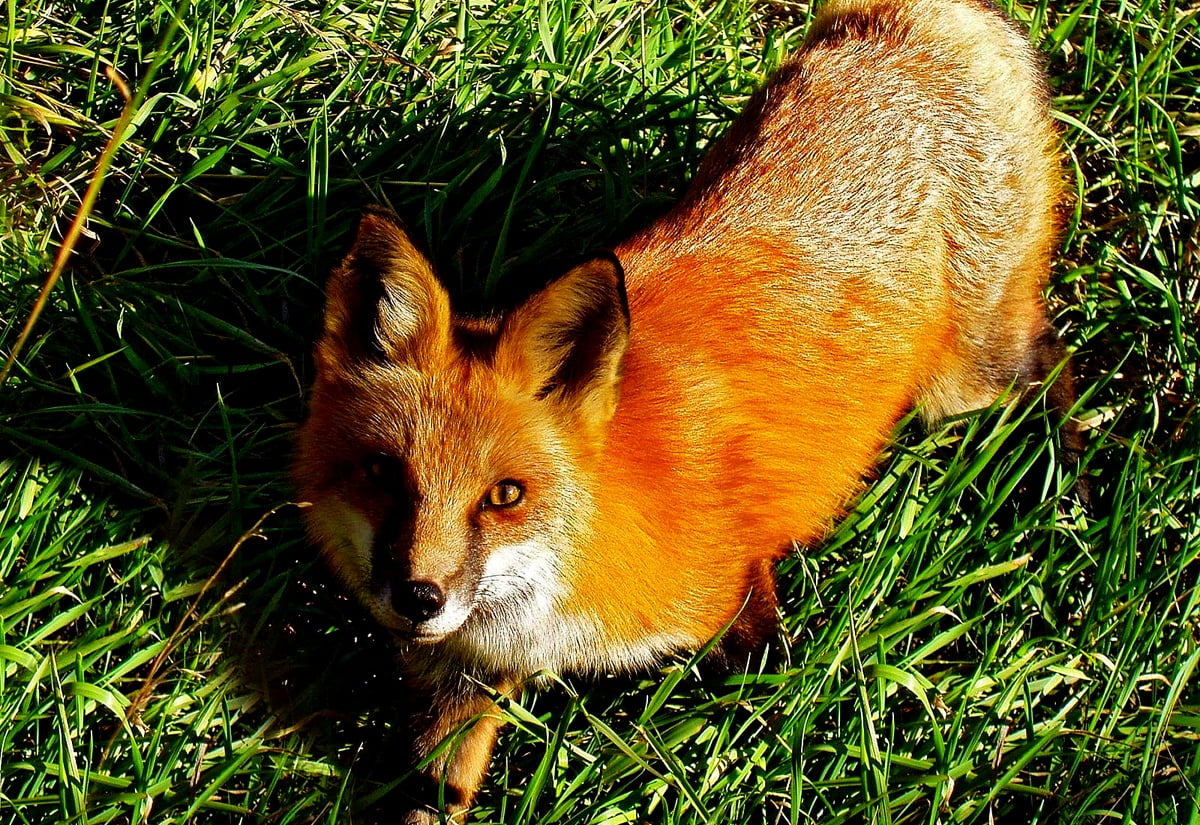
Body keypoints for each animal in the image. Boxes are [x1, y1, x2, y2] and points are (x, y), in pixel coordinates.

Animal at [294, 0, 1076, 820]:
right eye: (383, 473)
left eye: (506, 495)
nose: (419, 598)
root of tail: (928, 16)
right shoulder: (460, 682)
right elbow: (434, 791)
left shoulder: (733, 589)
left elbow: (760, 695)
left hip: (968, 378)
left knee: (1050, 356)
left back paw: (1075, 469)